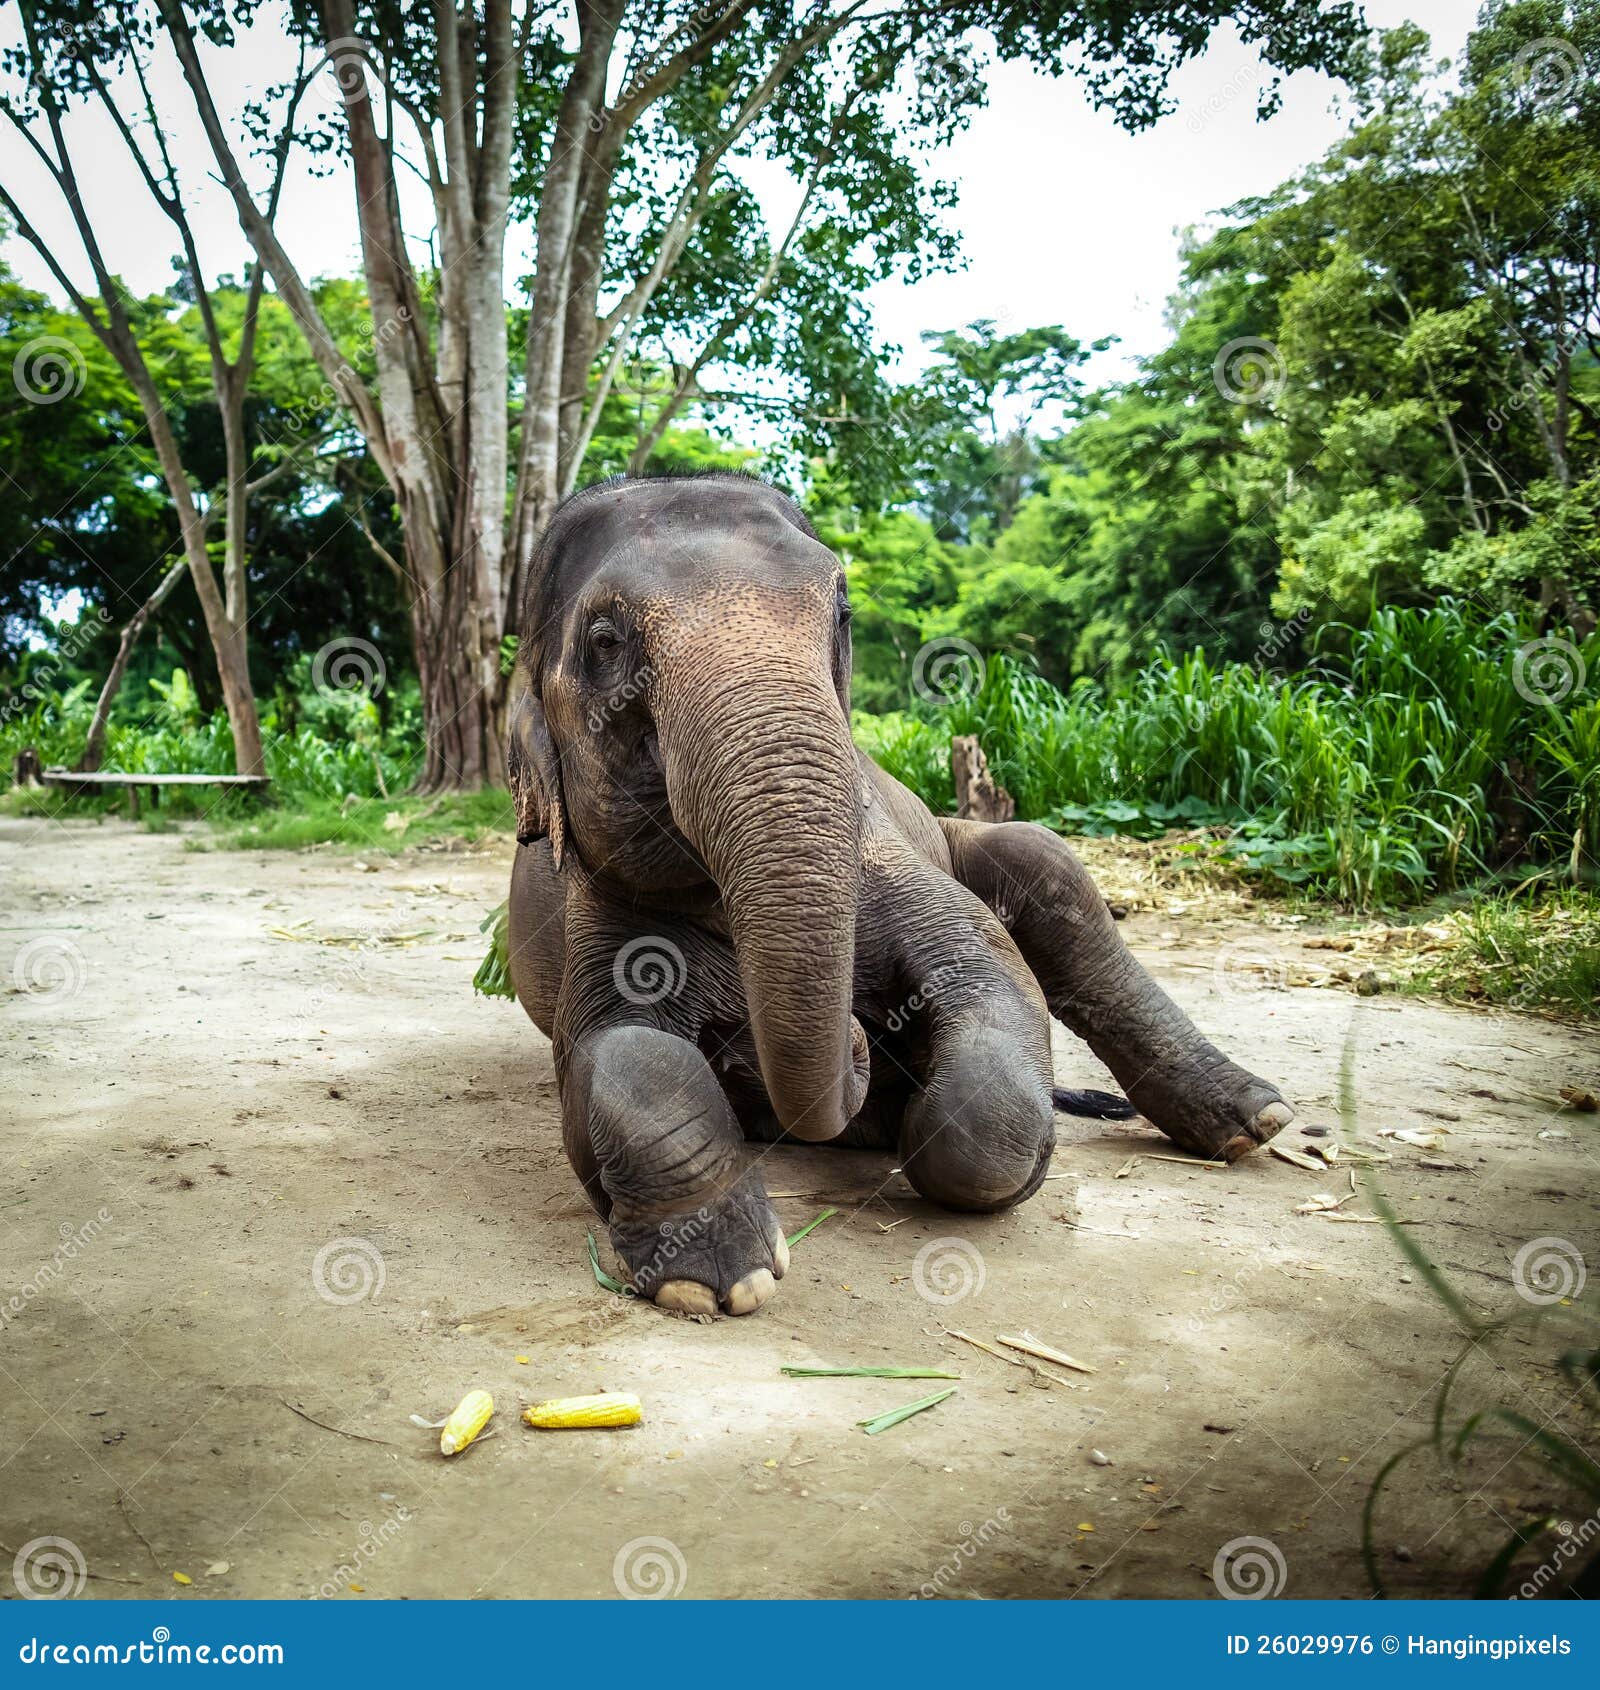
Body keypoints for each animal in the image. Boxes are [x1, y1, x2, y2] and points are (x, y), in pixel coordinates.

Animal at [505, 473, 1293, 1318]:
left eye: (844, 614)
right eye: (605, 642)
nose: (858, 1041)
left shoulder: (888, 858)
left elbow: (989, 985)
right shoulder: (599, 907)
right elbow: (615, 1047)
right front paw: (716, 1275)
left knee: (1044, 865)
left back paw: (1253, 1120)